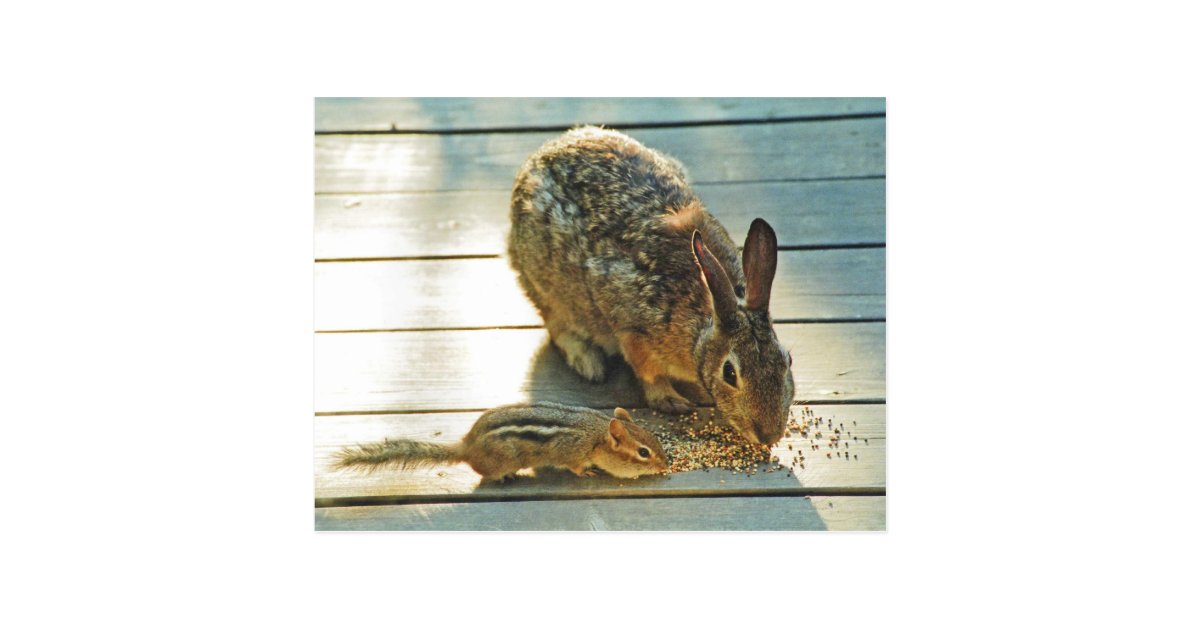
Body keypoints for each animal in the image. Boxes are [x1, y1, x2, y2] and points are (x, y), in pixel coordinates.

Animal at [507, 126, 795, 445]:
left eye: (788, 360)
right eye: (729, 373)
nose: (769, 435)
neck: (701, 325)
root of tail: (539, 156)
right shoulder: (633, 330)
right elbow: (648, 372)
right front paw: (670, 400)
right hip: (546, 284)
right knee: (556, 323)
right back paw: (589, 363)